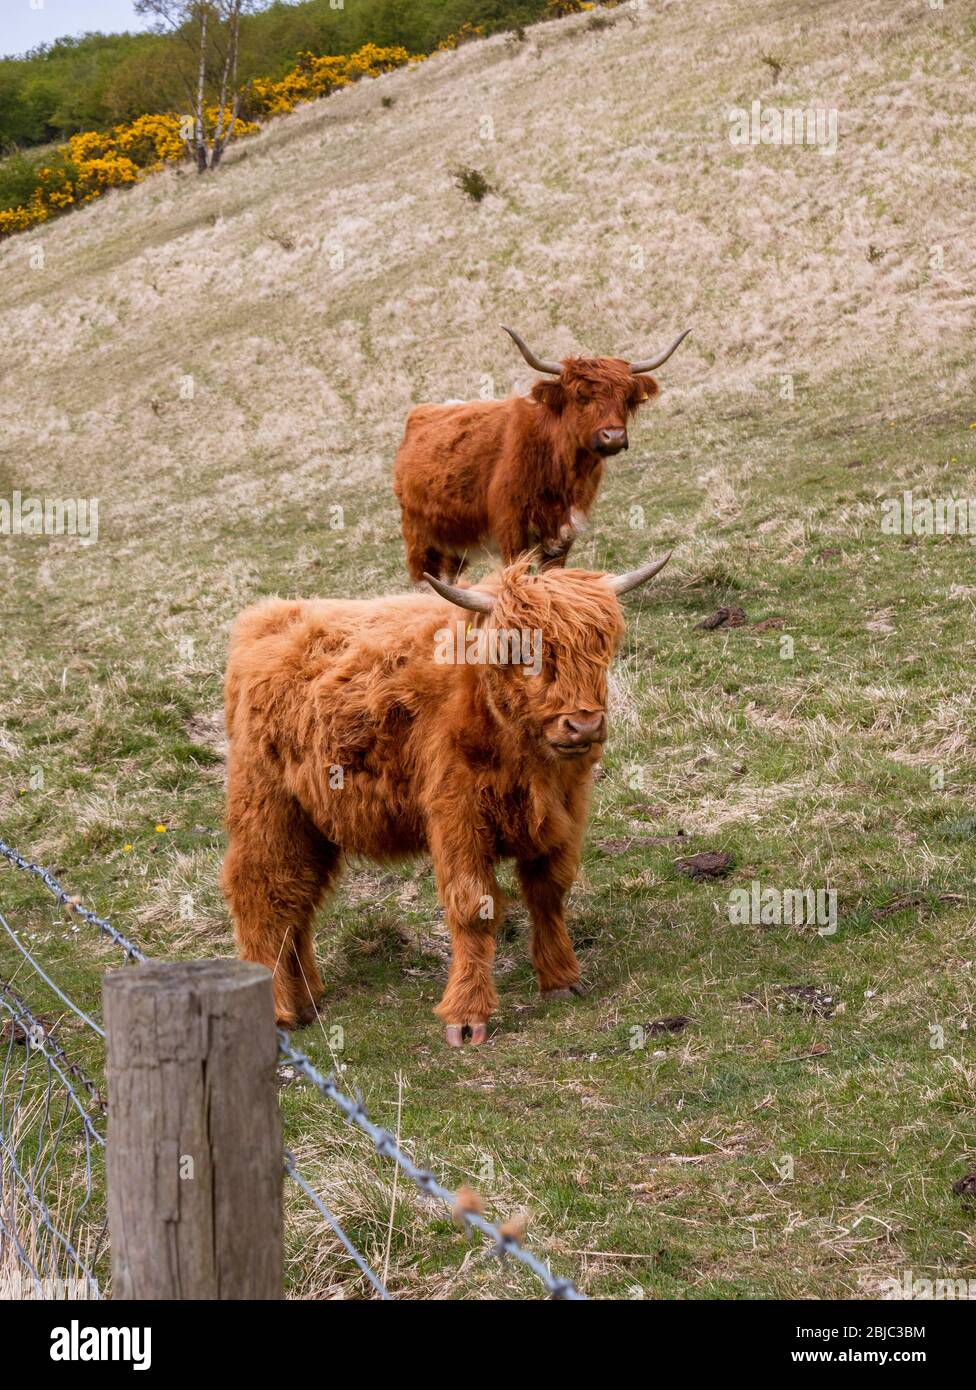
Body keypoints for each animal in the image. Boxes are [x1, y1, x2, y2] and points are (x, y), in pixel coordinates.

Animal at [221, 551, 671, 1045]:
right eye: (520, 651)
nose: (584, 725)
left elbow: (548, 893)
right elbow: (473, 908)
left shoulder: (563, 816)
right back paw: (279, 1012)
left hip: (312, 825)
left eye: (601, 647)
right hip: (267, 809)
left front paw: (560, 979)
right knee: (262, 896)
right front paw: (467, 1016)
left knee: (296, 902)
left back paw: (307, 1002)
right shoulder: (458, 818)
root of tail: (266, 618)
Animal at [393, 325, 690, 582]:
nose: (613, 436)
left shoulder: (563, 532)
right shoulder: (512, 529)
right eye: (580, 395)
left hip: (455, 543)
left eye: (626, 397)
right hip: (419, 537)